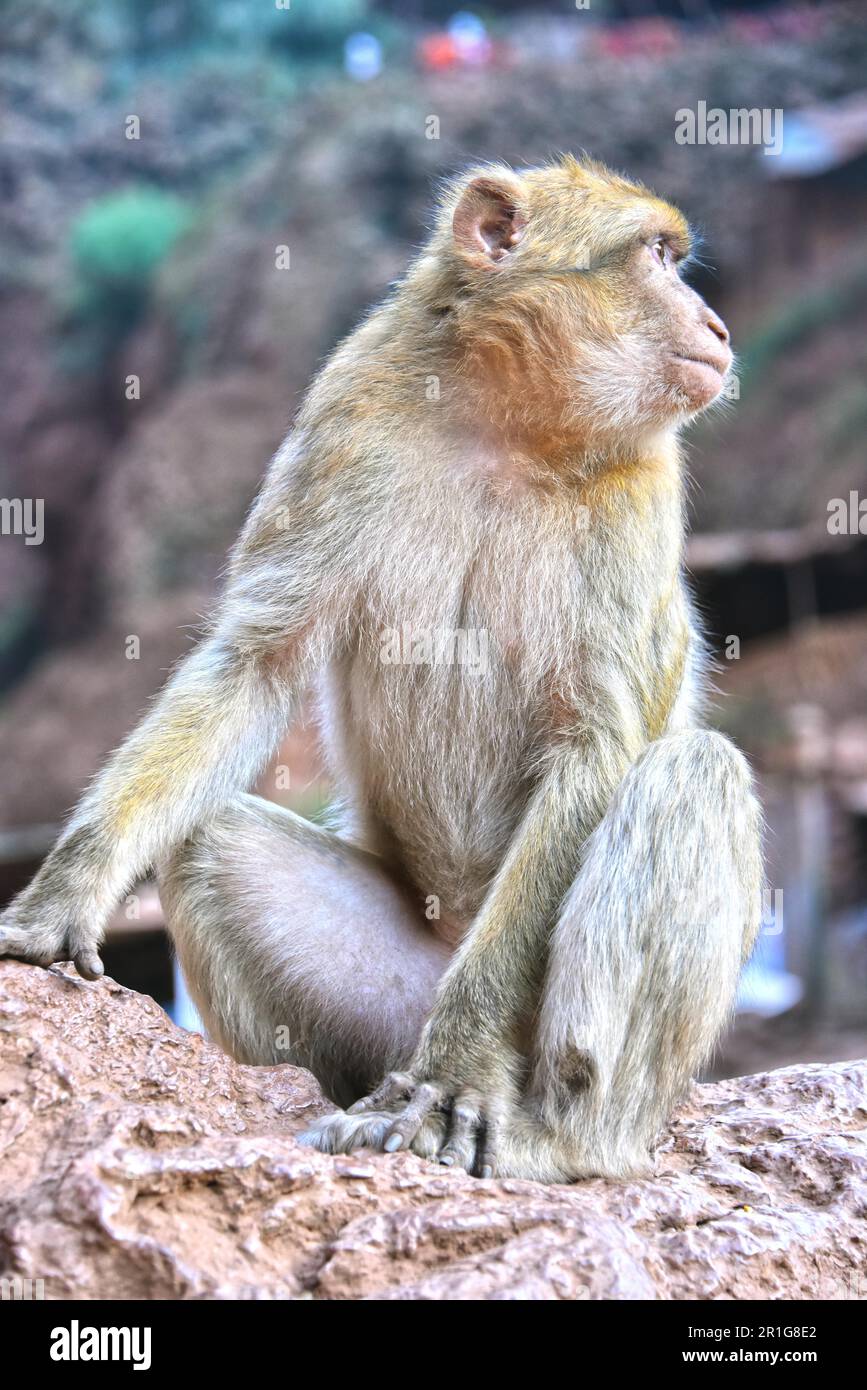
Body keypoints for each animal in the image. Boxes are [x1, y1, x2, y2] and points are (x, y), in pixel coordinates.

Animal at [0, 155, 762, 1183]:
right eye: (654, 256)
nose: (715, 326)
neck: (510, 428)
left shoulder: (643, 489)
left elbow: (594, 750)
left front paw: (458, 1075)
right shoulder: (349, 411)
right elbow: (256, 664)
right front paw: (66, 891)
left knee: (691, 775)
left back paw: (551, 1137)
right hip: (390, 1005)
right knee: (208, 840)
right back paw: (331, 1095)